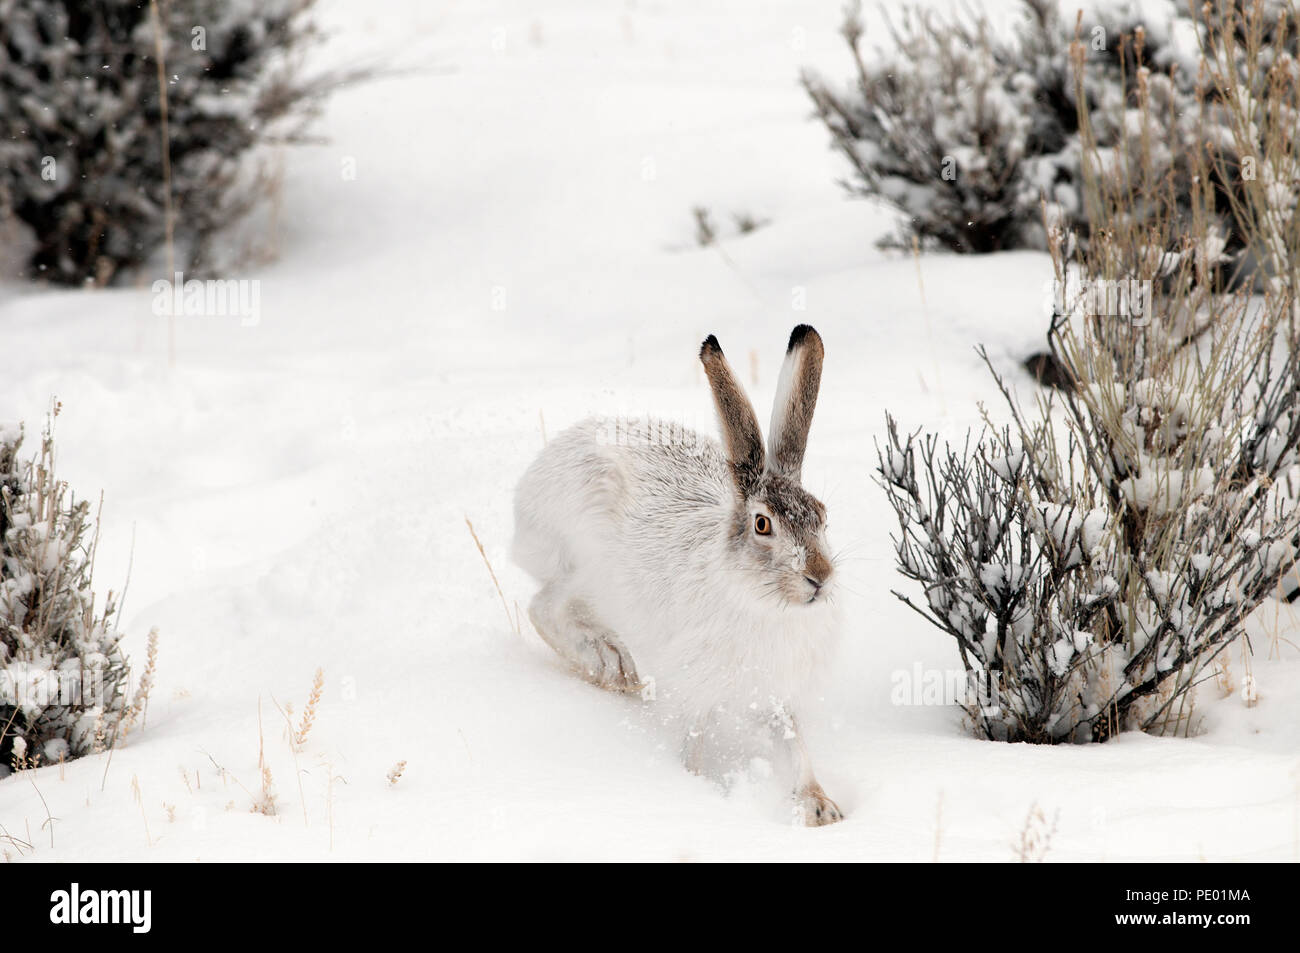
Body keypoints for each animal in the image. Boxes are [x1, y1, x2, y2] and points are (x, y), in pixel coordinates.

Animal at [512, 325, 843, 825]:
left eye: (822, 516)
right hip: (585, 566)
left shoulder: (775, 692)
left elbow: (793, 743)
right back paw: (611, 664)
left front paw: (820, 807)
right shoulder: (697, 688)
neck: (761, 603)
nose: (819, 576)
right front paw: (698, 791)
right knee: (544, 607)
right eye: (762, 524)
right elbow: (693, 742)